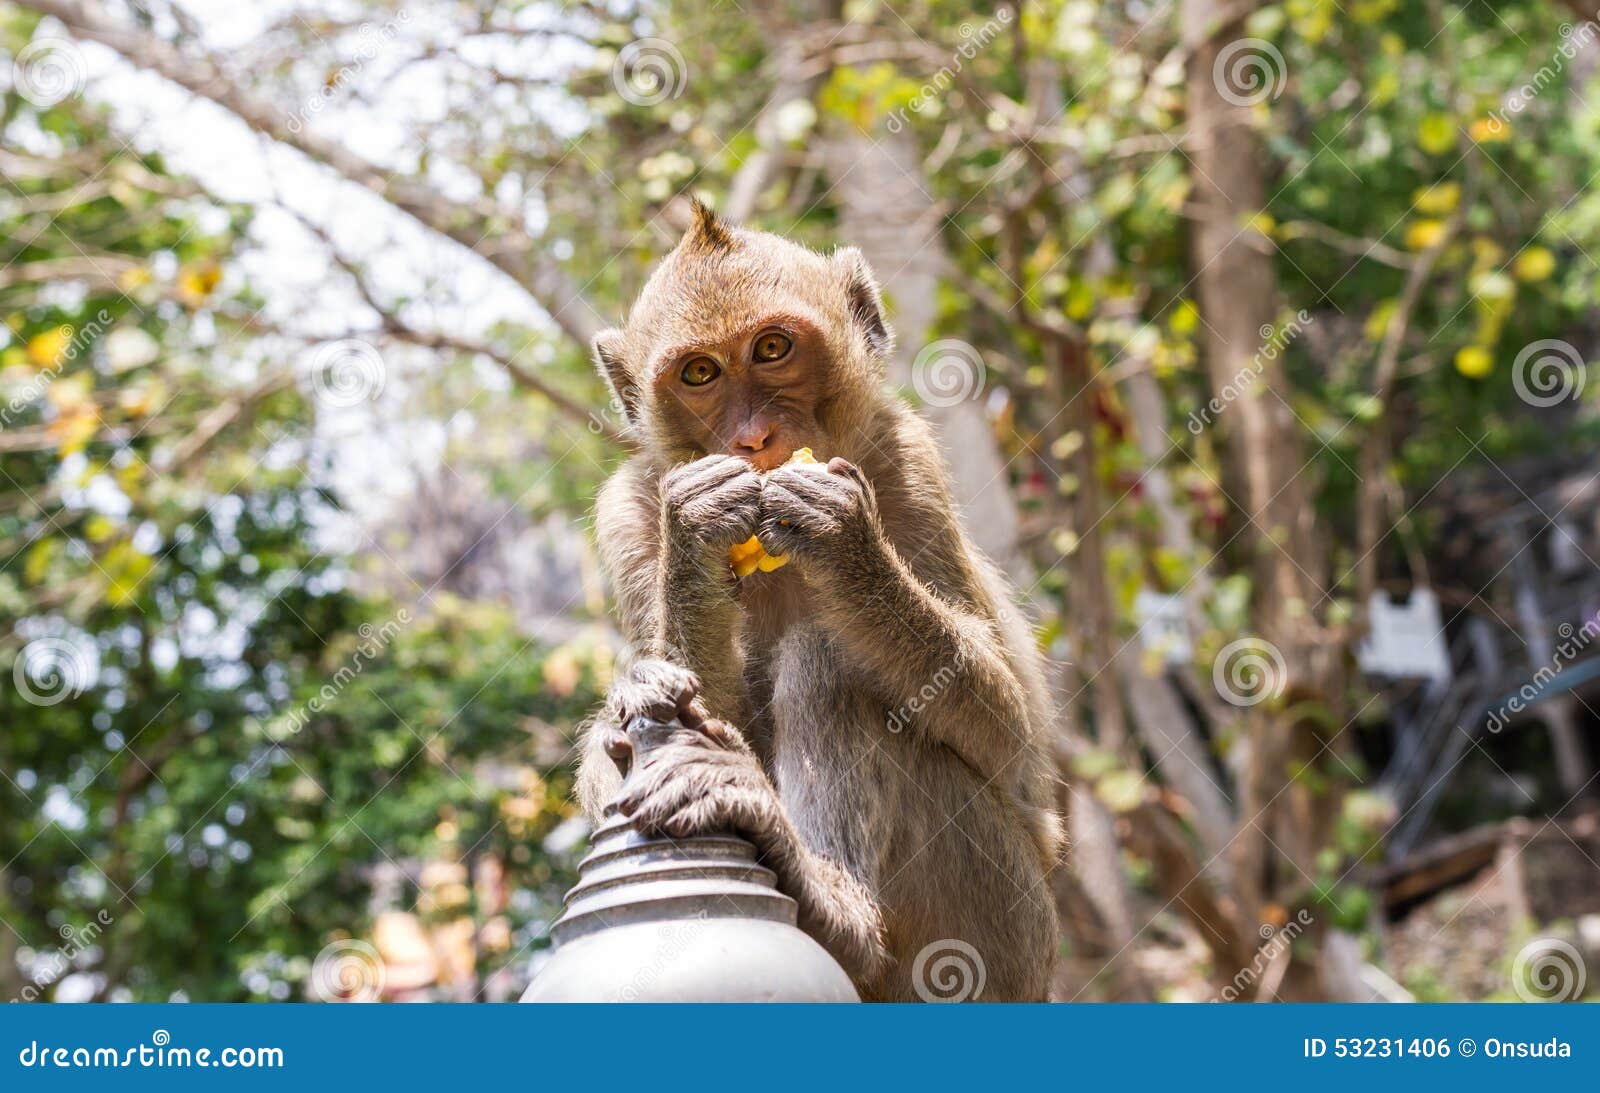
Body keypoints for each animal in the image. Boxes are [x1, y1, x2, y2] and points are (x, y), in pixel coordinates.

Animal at [575, 199, 1063, 1002]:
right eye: (701, 373)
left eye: (773, 348)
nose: (754, 438)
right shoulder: (624, 514)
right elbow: (691, 701)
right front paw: (695, 534)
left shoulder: (907, 459)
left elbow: (1013, 744)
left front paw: (844, 539)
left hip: (1009, 931)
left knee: (828, 656)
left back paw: (837, 912)